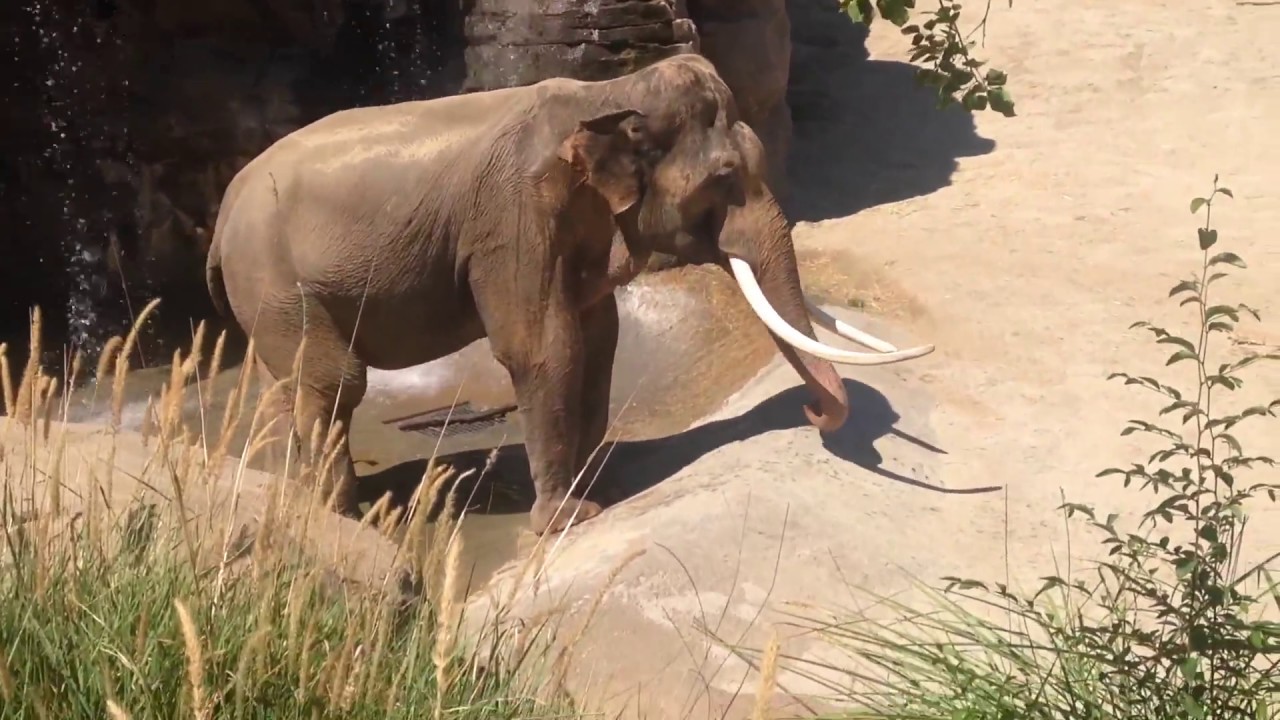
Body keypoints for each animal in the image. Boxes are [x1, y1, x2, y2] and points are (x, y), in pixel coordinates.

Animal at [204, 52, 934, 536]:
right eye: (726, 178)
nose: (812, 413)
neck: (610, 94)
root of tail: (221, 215)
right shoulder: (515, 215)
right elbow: (544, 348)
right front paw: (569, 519)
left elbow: (599, 336)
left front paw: (596, 487)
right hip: (274, 278)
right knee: (332, 381)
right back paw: (343, 518)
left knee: (304, 386)